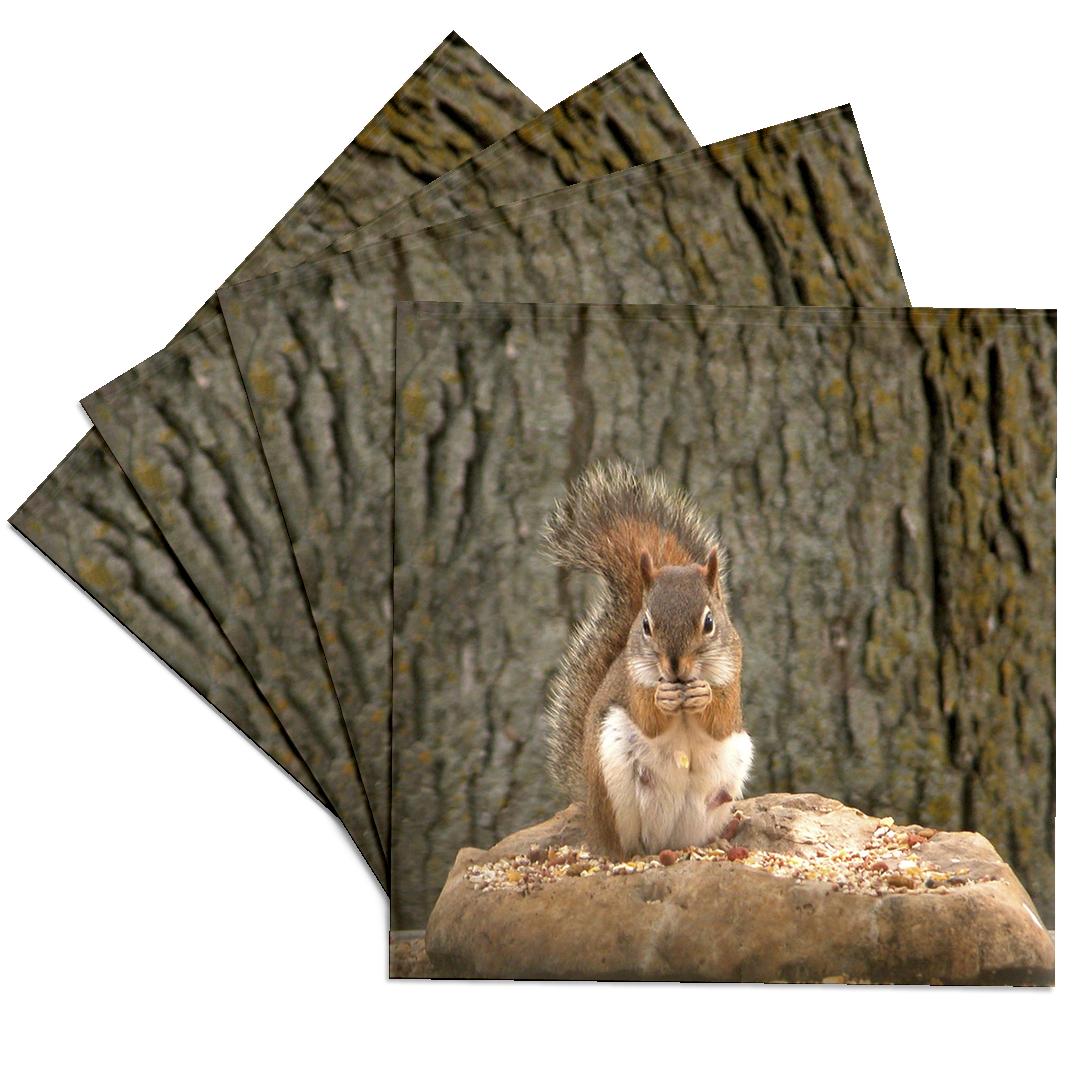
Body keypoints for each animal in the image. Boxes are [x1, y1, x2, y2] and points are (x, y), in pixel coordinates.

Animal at [542, 460, 752, 857]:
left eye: (709, 622)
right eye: (646, 624)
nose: (675, 666)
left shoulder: (732, 677)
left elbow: (721, 720)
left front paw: (702, 695)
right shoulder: (632, 680)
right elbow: (648, 717)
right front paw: (663, 697)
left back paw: (721, 835)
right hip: (613, 775)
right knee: (622, 843)